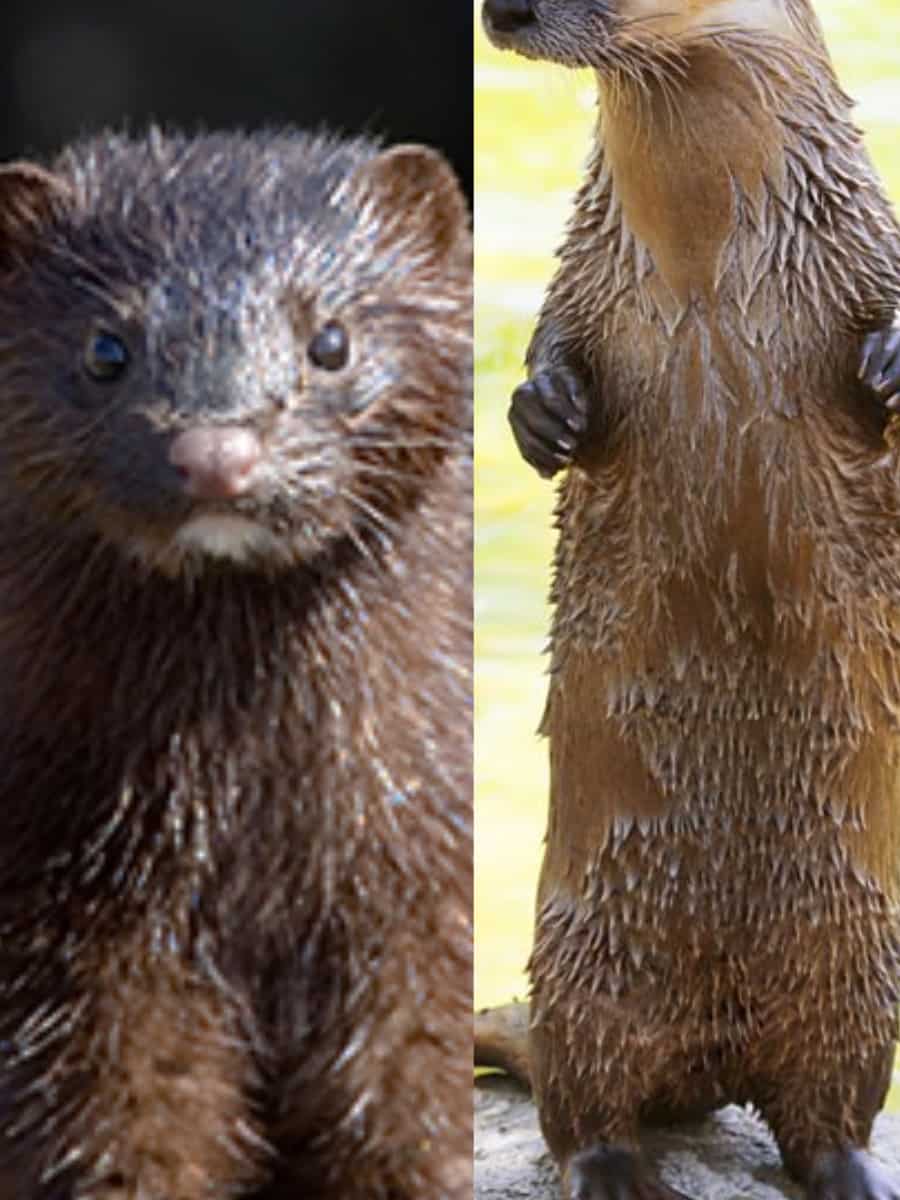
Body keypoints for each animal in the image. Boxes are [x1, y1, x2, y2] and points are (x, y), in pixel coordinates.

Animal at [0, 129, 471, 1199]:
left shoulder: (418, 887)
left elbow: (412, 1093)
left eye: (330, 341)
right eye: (106, 348)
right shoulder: (69, 916)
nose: (216, 454)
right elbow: (113, 1113)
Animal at [481, 1, 900, 1198]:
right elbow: (551, 346)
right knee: (585, 1102)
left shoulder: (865, 238)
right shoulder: (584, 272)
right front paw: (542, 415)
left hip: (861, 962)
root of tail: (717, 1045)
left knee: (827, 1106)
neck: (712, 264)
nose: (504, 11)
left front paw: (894, 361)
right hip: (587, 956)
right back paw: (615, 1169)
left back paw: (853, 1169)